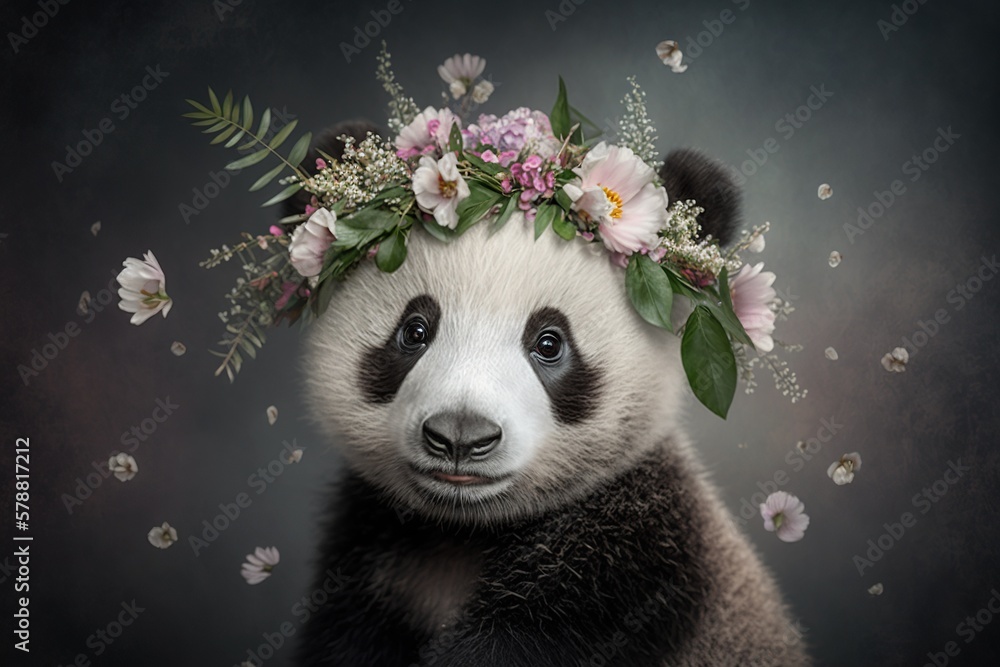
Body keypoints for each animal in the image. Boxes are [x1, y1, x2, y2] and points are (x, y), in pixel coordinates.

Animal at [292, 123, 810, 666]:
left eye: (548, 343)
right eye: (414, 332)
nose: (460, 436)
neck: (464, 532)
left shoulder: (635, 565)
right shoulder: (372, 558)